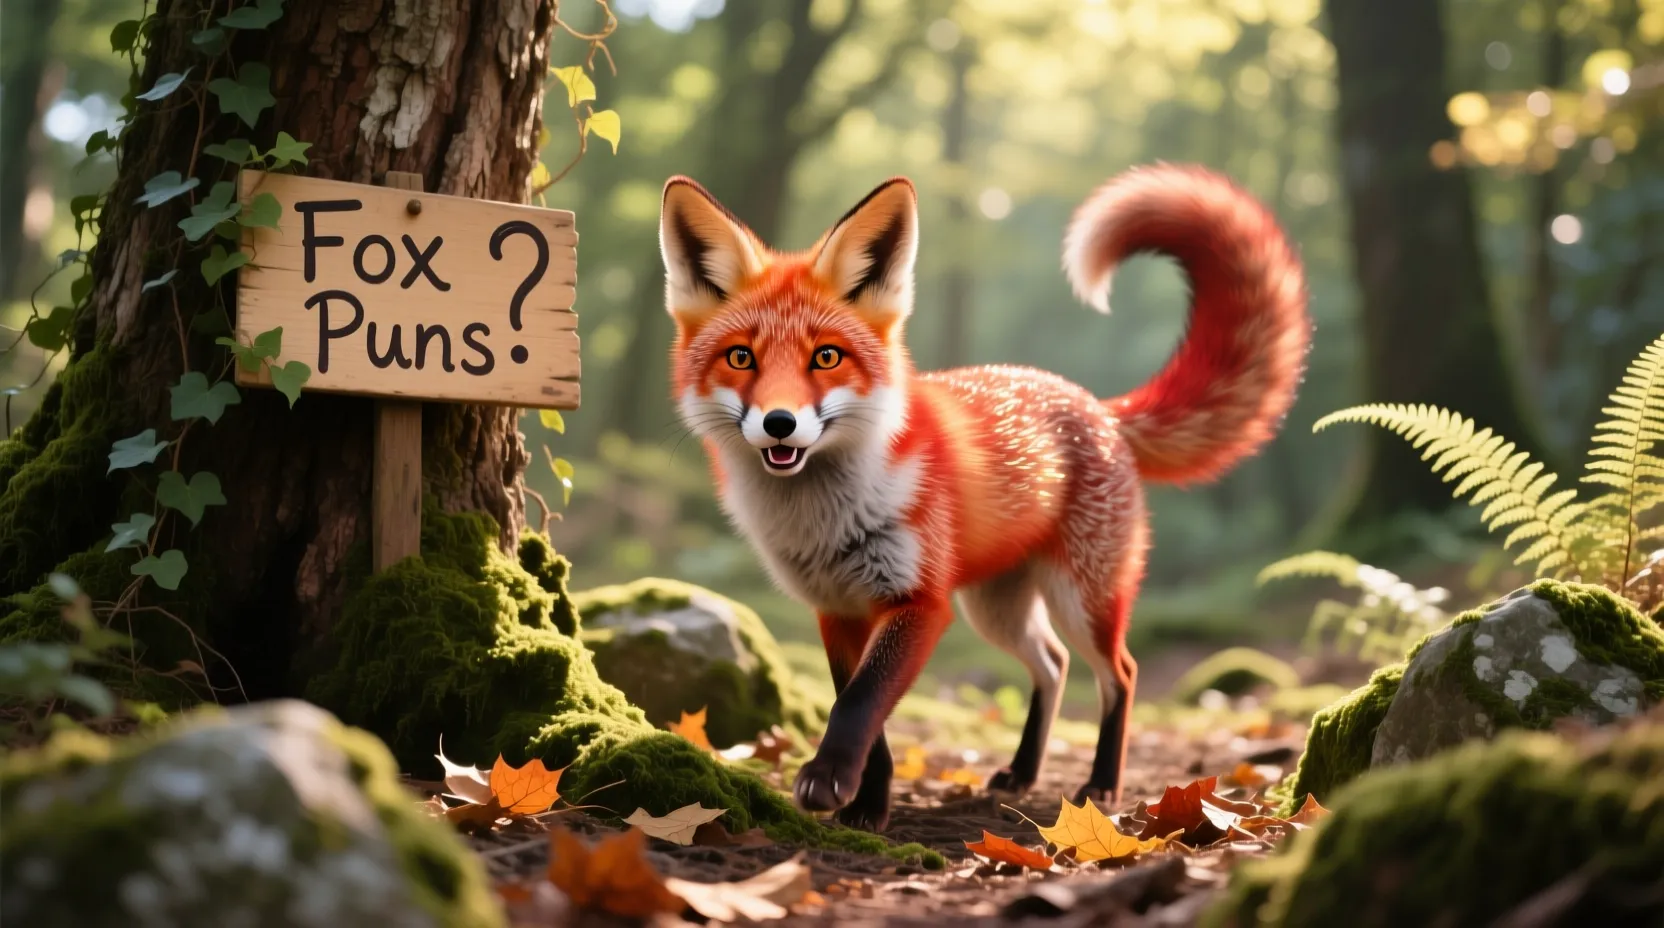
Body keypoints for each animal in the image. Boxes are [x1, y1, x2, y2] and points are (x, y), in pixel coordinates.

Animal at [659, 164, 1309, 831]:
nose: (780, 424)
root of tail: (1098, 407)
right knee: (1053, 664)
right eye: (742, 357)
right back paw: (1022, 771)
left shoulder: (919, 602)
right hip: (997, 609)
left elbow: (861, 703)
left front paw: (834, 782)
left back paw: (1102, 783)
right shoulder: (836, 609)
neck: (825, 520)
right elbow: (866, 712)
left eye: (827, 357)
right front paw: (865, 805)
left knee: (1120, 674)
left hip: (1080, 599)